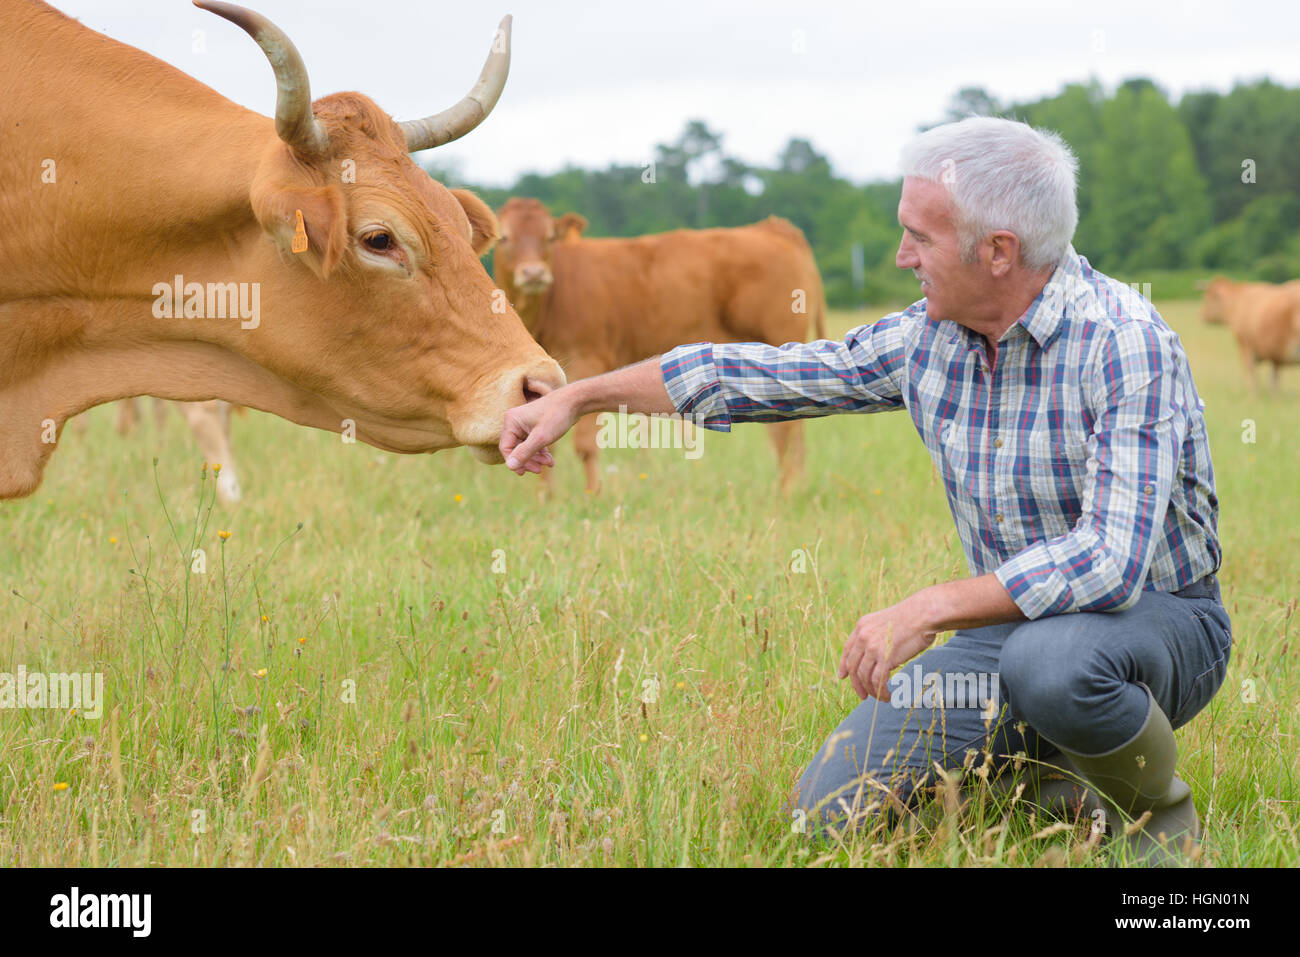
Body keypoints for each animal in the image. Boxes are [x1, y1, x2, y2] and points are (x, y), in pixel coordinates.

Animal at [492, 198, 827, 495]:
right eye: (504, 237)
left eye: (549, 237)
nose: (534, 273)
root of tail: (772, 227)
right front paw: (546, 497)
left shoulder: (585, 360)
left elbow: (584, 444)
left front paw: (592, 495)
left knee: (788, 433)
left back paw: (788, 489)